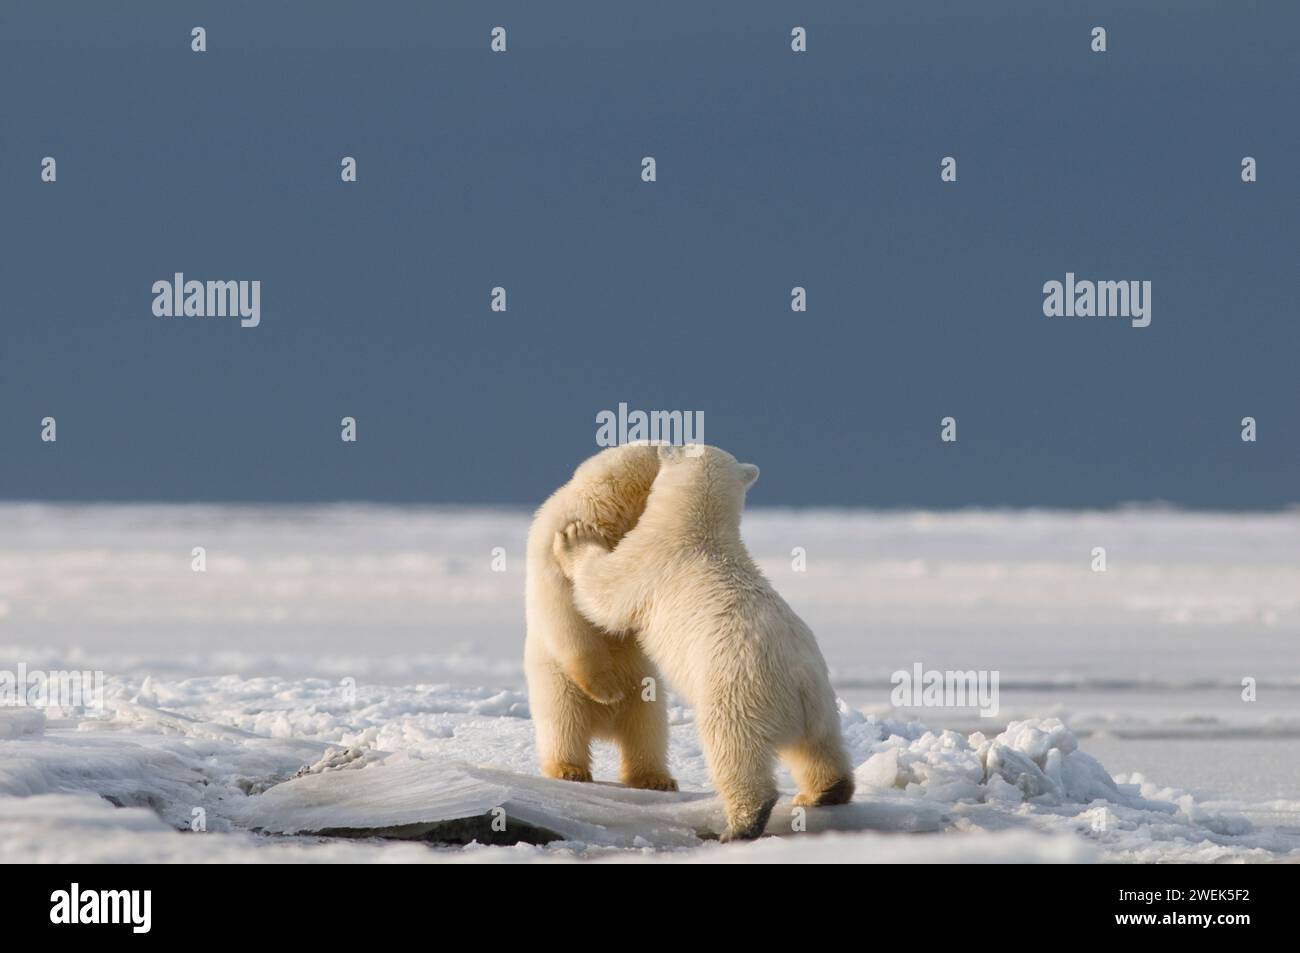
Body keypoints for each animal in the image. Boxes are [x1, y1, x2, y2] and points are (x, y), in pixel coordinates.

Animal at [524, 443, 677, 791]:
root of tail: (604, 727)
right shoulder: (554, 544)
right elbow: (569, 617)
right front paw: (607, 690)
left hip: (645, 686)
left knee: (647, 730)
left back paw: (656, 778)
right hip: (556, 683)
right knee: (563, 725)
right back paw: (570, 768)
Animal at [553, 444, 853, 841]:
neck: (697, 531)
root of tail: (800, 681)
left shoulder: (647, 563)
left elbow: (603, 594)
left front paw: (573, 537)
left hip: (739, 692)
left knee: (735, 753)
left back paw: (739, 825)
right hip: (820, 704)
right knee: (820, 748)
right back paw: (826, 791)